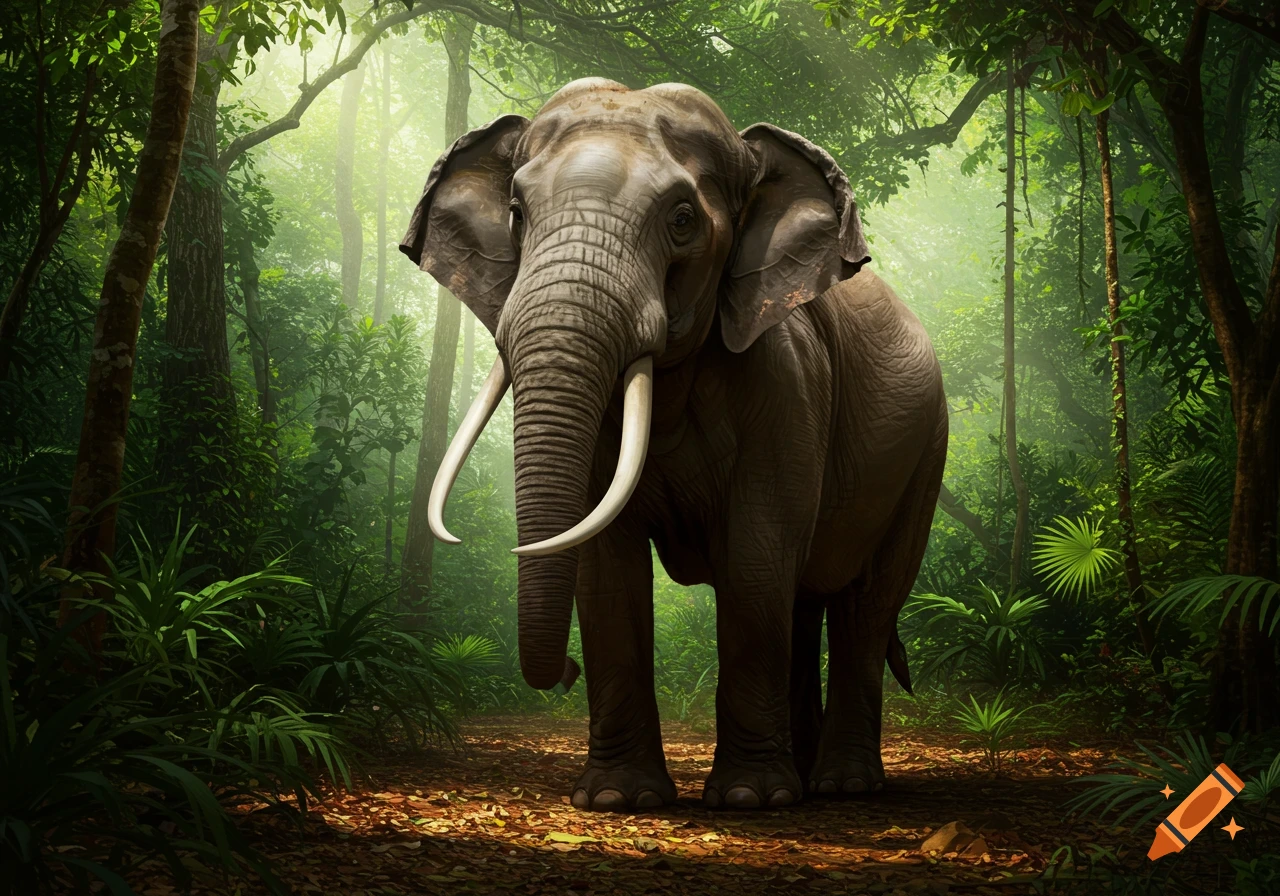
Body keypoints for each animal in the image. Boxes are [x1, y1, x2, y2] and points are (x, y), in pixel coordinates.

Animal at [400, 78, 947, 812]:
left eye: (682, 219)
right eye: (516, 212)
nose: (566, 671)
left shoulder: (787, 385)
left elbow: (755, 554)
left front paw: (748, 800)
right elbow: (606, 566)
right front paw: (617, 800)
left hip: (926, 451)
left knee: (867, 600)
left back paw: (842, 786)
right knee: (805, 599)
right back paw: (807, 780)